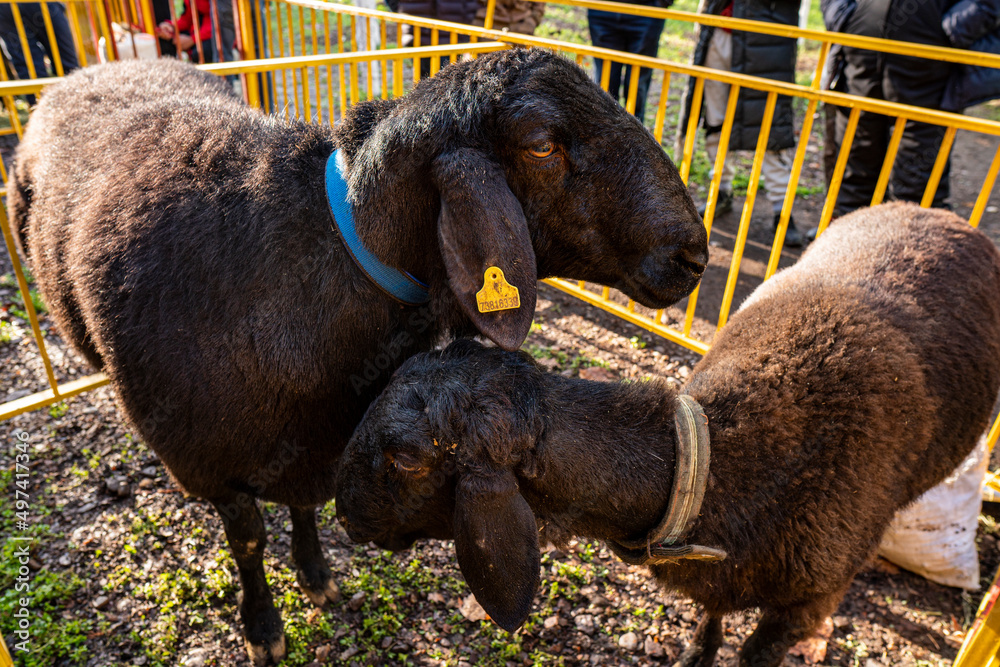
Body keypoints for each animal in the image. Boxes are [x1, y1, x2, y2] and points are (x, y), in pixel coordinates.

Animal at [8, 49, 708, 664]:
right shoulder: (208, 465)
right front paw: (263, 626)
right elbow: (249, 539)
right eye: (541, 143)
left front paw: (317, 574)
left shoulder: (320, 441)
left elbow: (304, 505)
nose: (693, 255)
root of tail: (94, 67)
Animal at [335, 202, 1000, 667]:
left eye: (407, 458)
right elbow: (711, 616)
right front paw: (696, 653)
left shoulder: (806, 604)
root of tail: (940, 214)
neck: (716, 461)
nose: (344, 515)